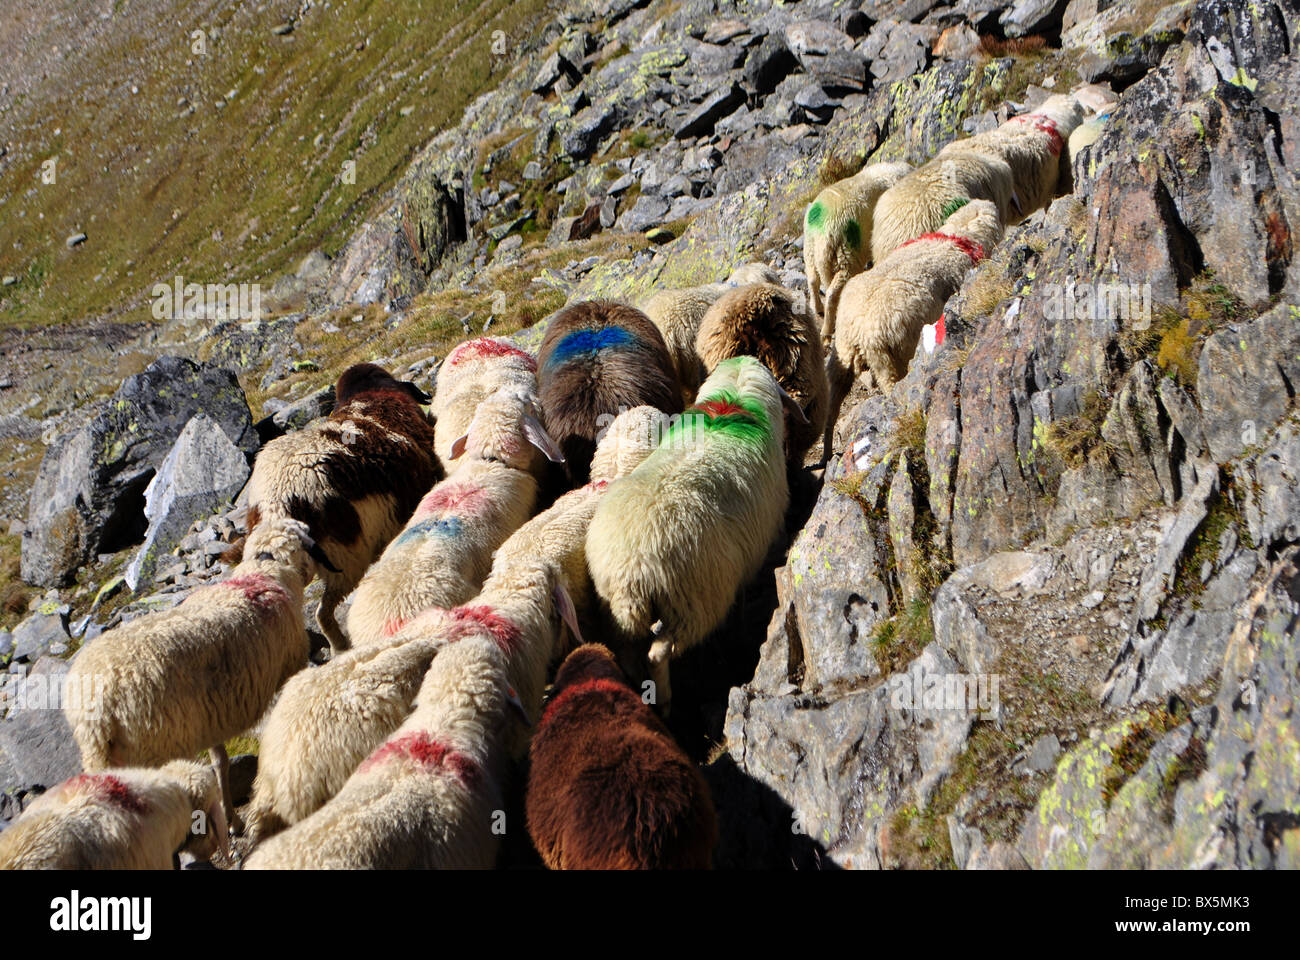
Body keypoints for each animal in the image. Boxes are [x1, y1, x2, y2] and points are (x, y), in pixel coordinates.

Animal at [64, 515, 320, 826]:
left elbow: (220, 761)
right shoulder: (287, 668)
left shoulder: (211, 715)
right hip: (150, 749)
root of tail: (93, 716)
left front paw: (231, 817)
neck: (264, 572)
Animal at [587, 356, 790, 713]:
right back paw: (666, 700)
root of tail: (632, 568)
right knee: (659, 652)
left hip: (617, 607)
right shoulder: (747, 558)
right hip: (693, 603)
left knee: (628, 651)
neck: (733, 399)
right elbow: (740, 600)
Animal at [803, 161, 912, 343]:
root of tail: (823, 236)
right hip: (847, 255)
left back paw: (817, 308)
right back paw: (827, 330)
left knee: (812, 280)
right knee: (832, 293)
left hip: (809, 250)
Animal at [822, 199, 1004, 463]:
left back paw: (826, 453)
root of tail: (861, 333)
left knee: (831, 407)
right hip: (892, 362)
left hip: (842, 357)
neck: (957, 238)